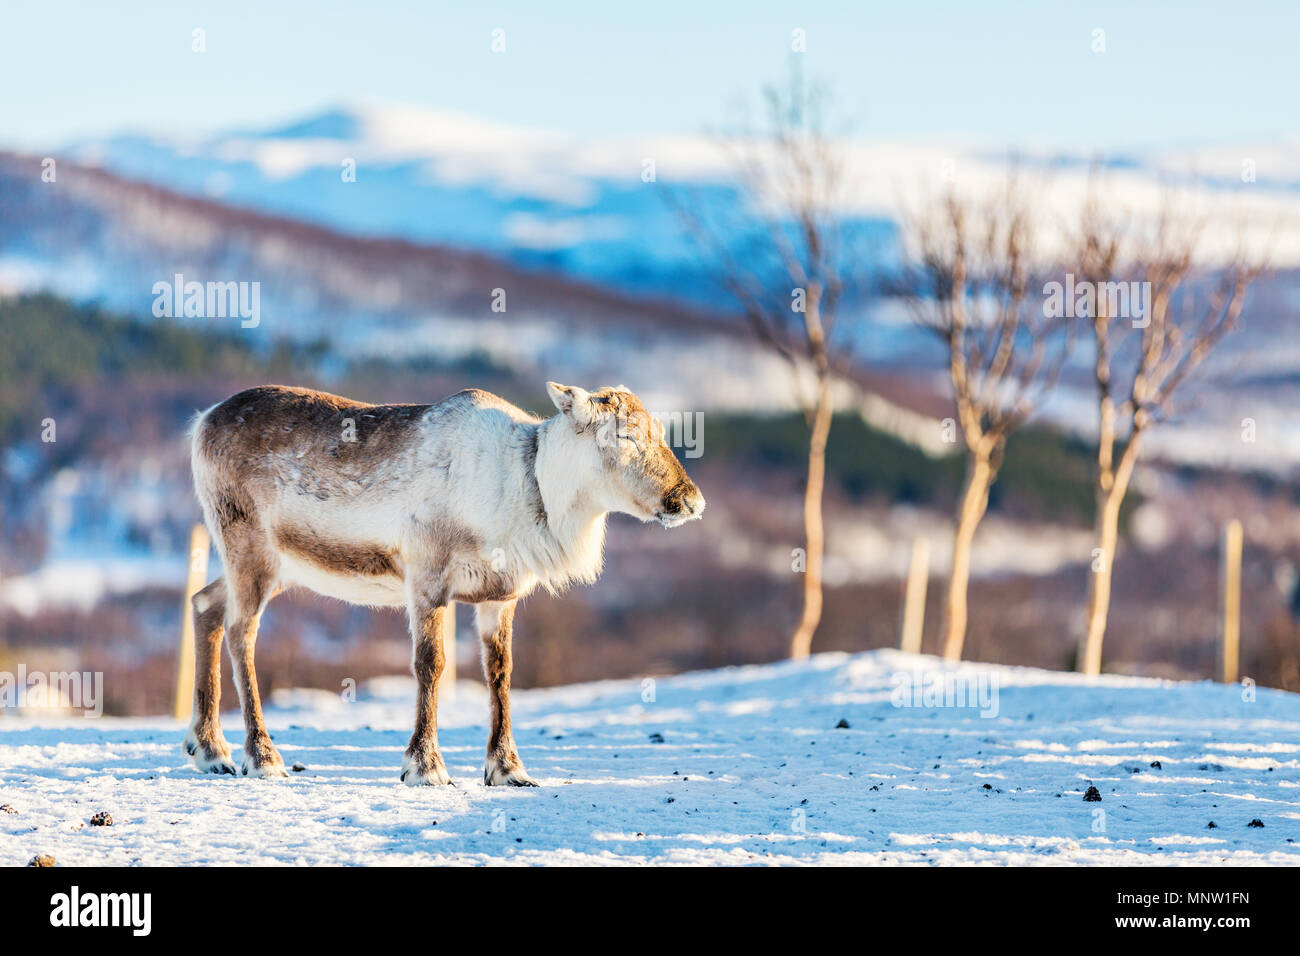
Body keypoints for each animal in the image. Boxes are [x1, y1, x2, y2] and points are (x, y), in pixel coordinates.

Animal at [184, 382, 704, 786]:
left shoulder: (500, 594)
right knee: (242, 633)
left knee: (205, 604)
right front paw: (426, 766)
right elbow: (431, 664)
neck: (534, 487)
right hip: (250, 548)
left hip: (278, 567)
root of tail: (202, 421)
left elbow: (501, 672)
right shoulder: (427, 576)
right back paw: (261, 757)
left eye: (662, 432)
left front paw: (508, 769)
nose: (691, 501)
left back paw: (209, 750)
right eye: (626, 433)